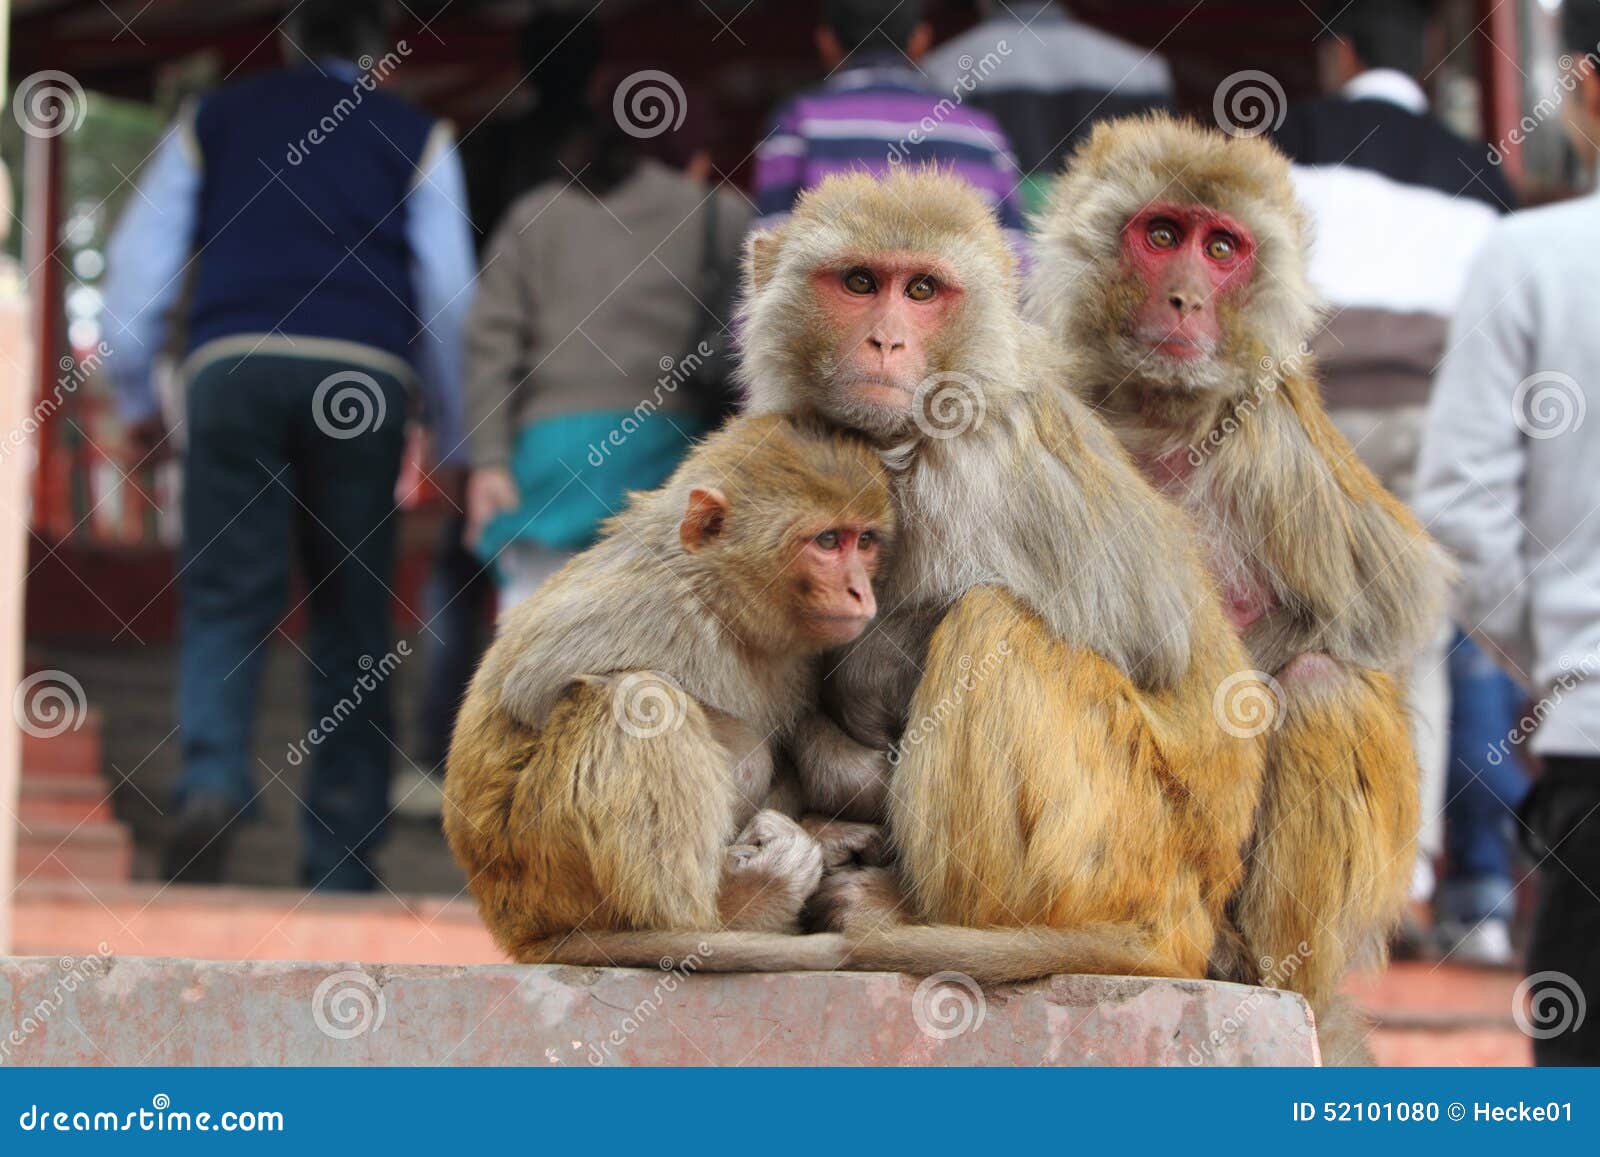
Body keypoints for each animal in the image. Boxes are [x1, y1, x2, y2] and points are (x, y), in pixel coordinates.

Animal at [736, 167, 1268, 985]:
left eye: (922, 290)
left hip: (1117, 846)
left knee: (991, 621)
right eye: (859, 282)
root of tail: (1191, 912)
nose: (886, 339)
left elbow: (1149, 635)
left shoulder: (976, 465)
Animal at [1029, 115, 1450, 1062]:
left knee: (1326, 684)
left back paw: (1257, 965)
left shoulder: (1275, 439)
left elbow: (1386, 610)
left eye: (1221, 248)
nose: (1186, 298)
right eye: (1161, 236)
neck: (1155, 416)